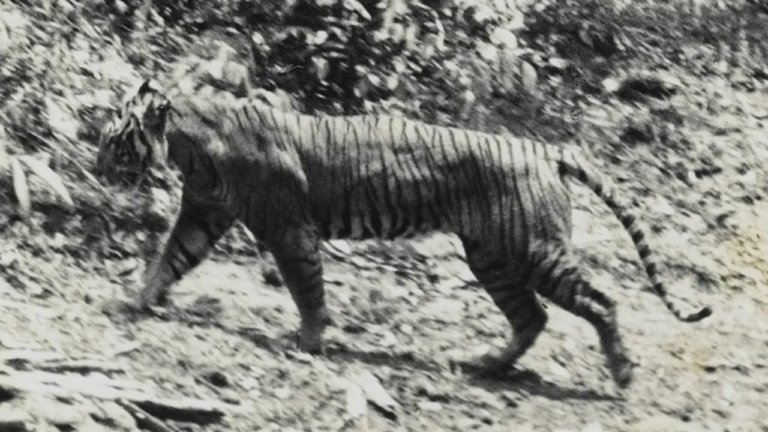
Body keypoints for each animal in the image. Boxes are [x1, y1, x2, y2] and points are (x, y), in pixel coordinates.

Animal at [95, 78, 711, 389]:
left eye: (113, 138)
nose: (96, 165)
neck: (189, 147)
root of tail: (542, 147)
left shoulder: (289, 231)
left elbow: (306, 288)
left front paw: (309, 342)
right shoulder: (203, 214)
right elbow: (170, 259)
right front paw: (138, 300)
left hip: (535, 251)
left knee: (600, 301)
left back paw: (623, 373)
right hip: (492, 257)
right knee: (531, 317)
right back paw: (488, 366)